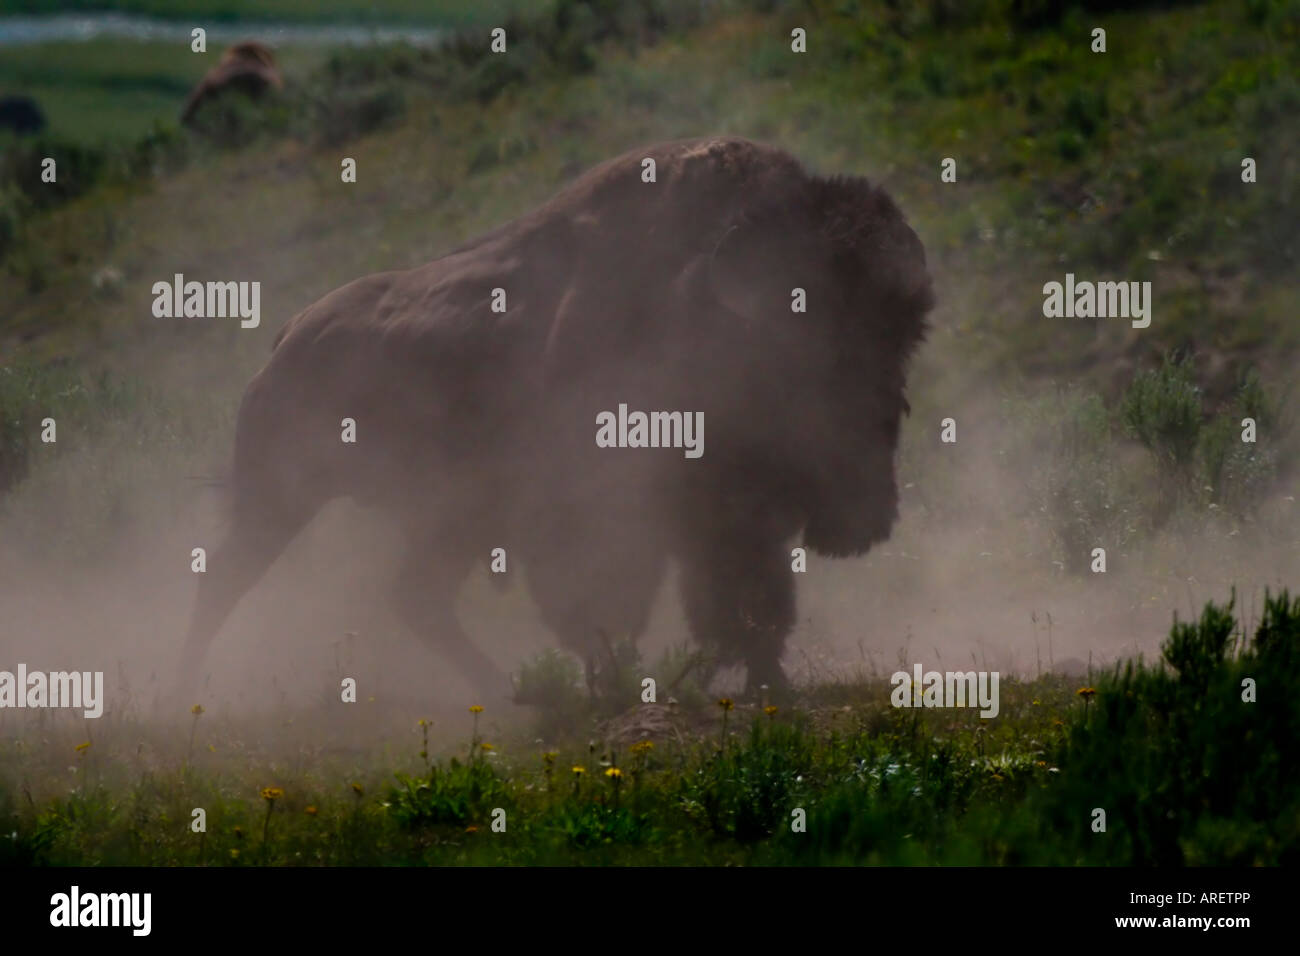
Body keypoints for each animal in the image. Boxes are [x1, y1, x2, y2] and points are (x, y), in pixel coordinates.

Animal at [179, 136, 934, 702]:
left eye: (902, 342)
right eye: (816, 350)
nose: (867, 512)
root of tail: (288, 339)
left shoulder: (727, 519)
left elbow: (751, 601)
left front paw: (768, 682)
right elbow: (611, 601)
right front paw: (619, 683)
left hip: (450, 518)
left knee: (414, 597)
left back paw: (505, 691)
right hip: (283, 499)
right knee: (226, 579)